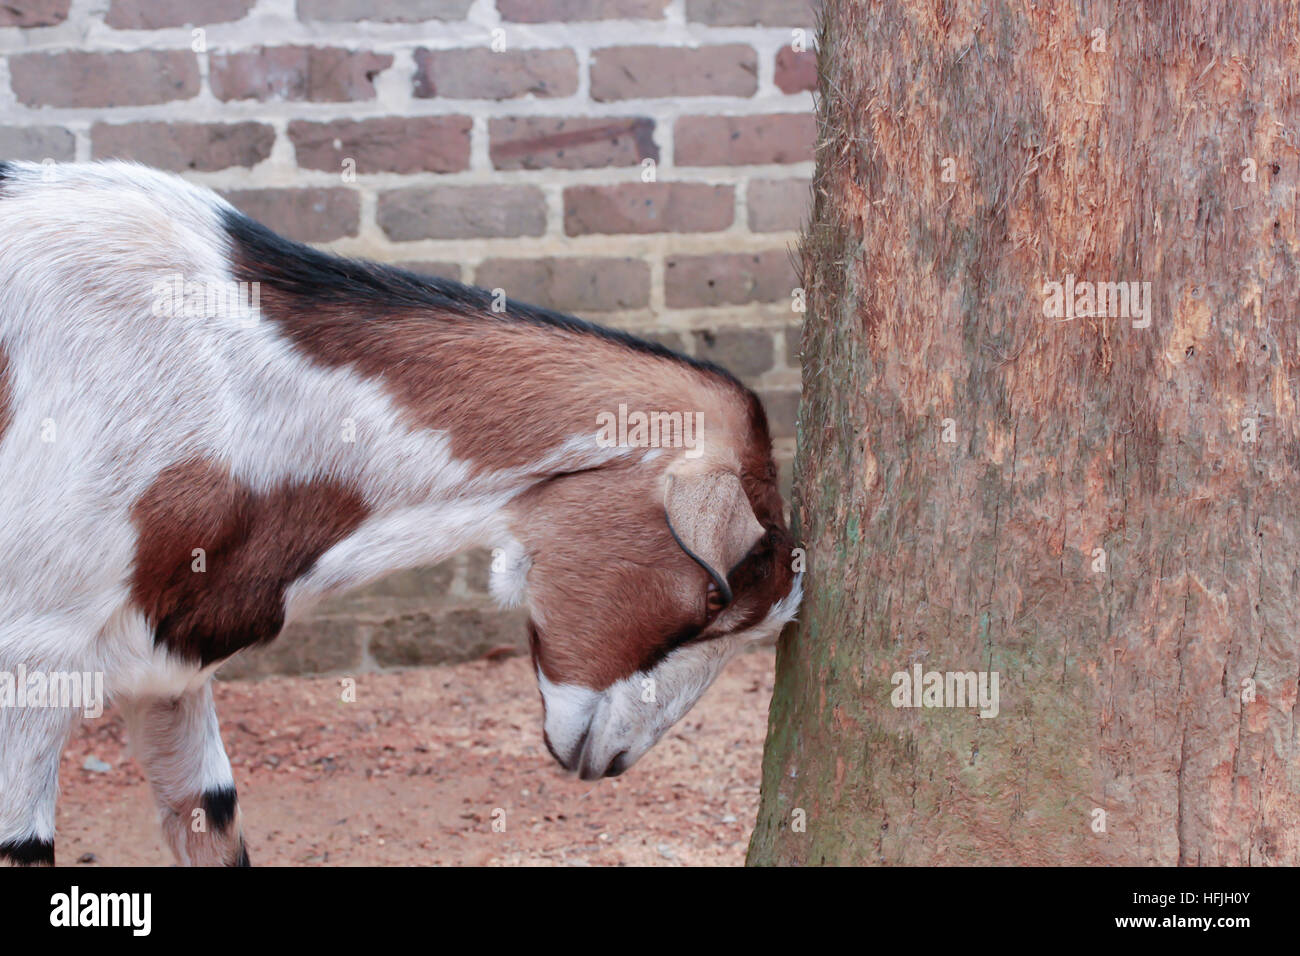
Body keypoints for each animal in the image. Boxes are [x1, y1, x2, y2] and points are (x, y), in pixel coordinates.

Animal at [0, 161, 801, 866]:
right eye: (712, 602)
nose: (616, 758)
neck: (233, 372)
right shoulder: (34, 654)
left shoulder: (168, 664)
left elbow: (210, 816)